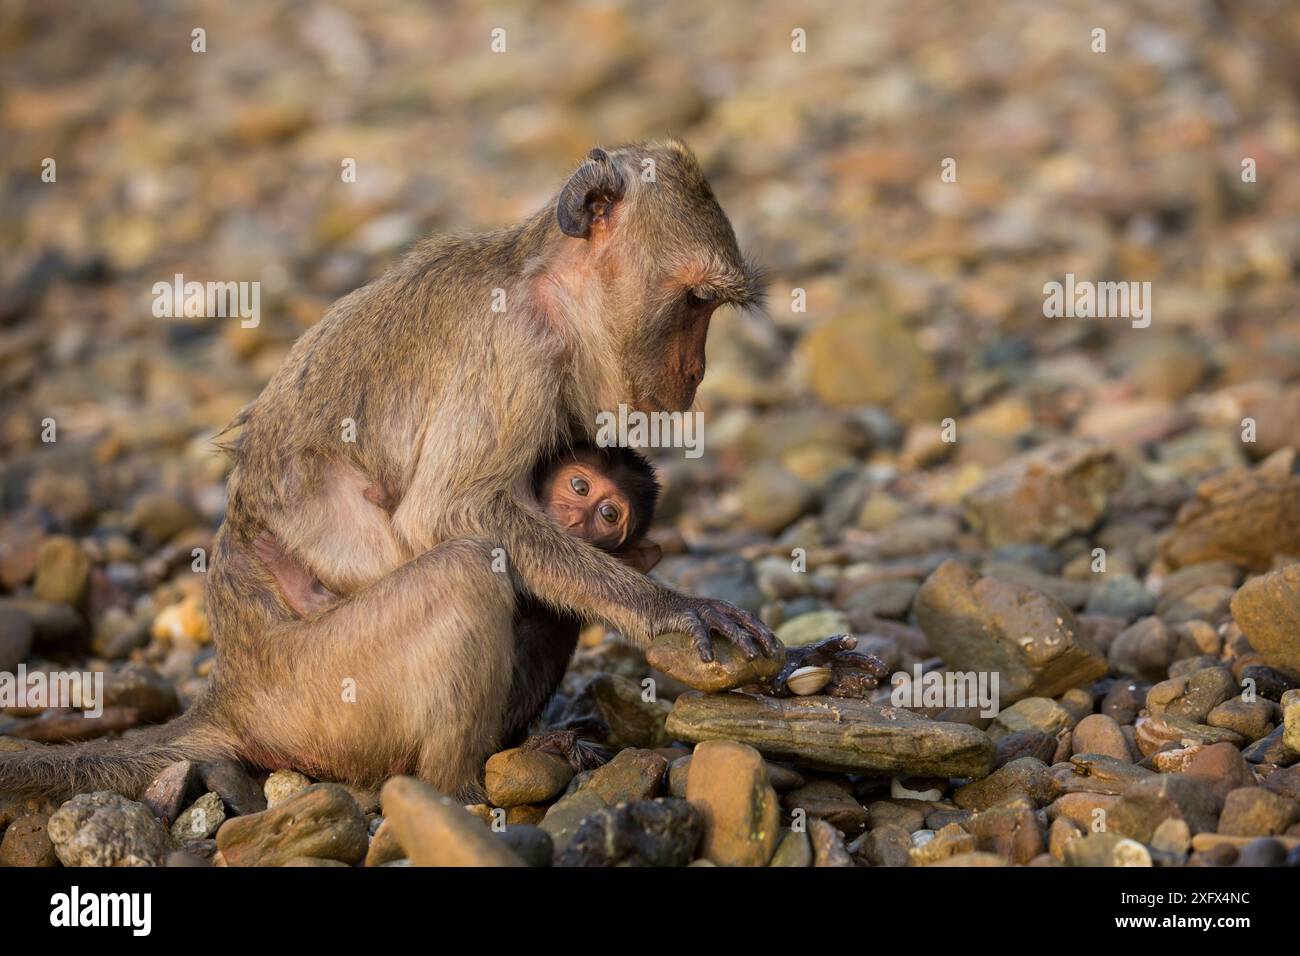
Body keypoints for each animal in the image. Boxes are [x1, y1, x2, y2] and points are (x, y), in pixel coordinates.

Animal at [0, 140, 782, 802]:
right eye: (696, 301)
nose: (695, 372)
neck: (545, 284)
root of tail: (232, 688)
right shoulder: (516, 352)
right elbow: (447, 515)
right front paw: (669, 606)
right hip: (322, 693)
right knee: (467, 571)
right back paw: (458, 788)